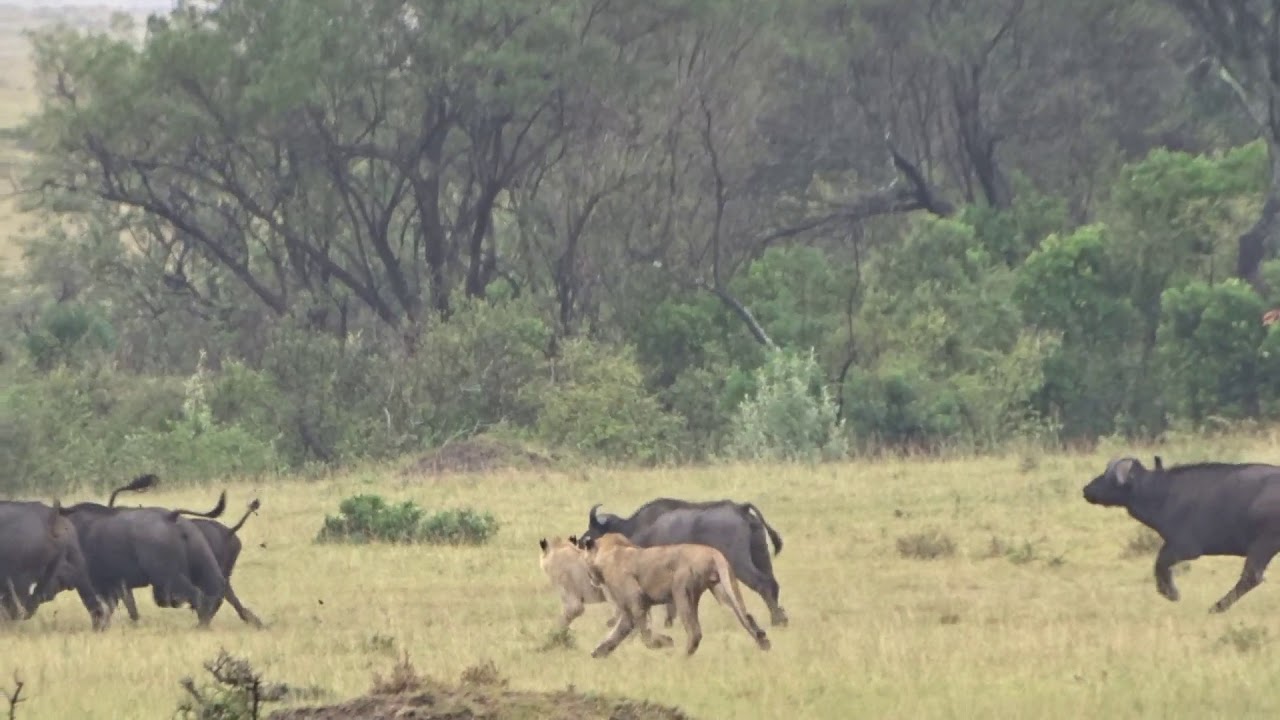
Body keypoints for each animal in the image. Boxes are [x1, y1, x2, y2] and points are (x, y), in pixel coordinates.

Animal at [577, 532, 771, 658]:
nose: (590, 578)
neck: (610, 549)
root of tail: (712, 552)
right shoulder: (627, 609)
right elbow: (618, 632)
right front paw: (599, 652)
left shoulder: (636, 600)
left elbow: (644, 632)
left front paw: (663, 642)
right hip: (725, 591)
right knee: (746, 617)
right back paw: (763, 642)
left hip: (682, 592)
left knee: (695, 632)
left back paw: (681, 658)